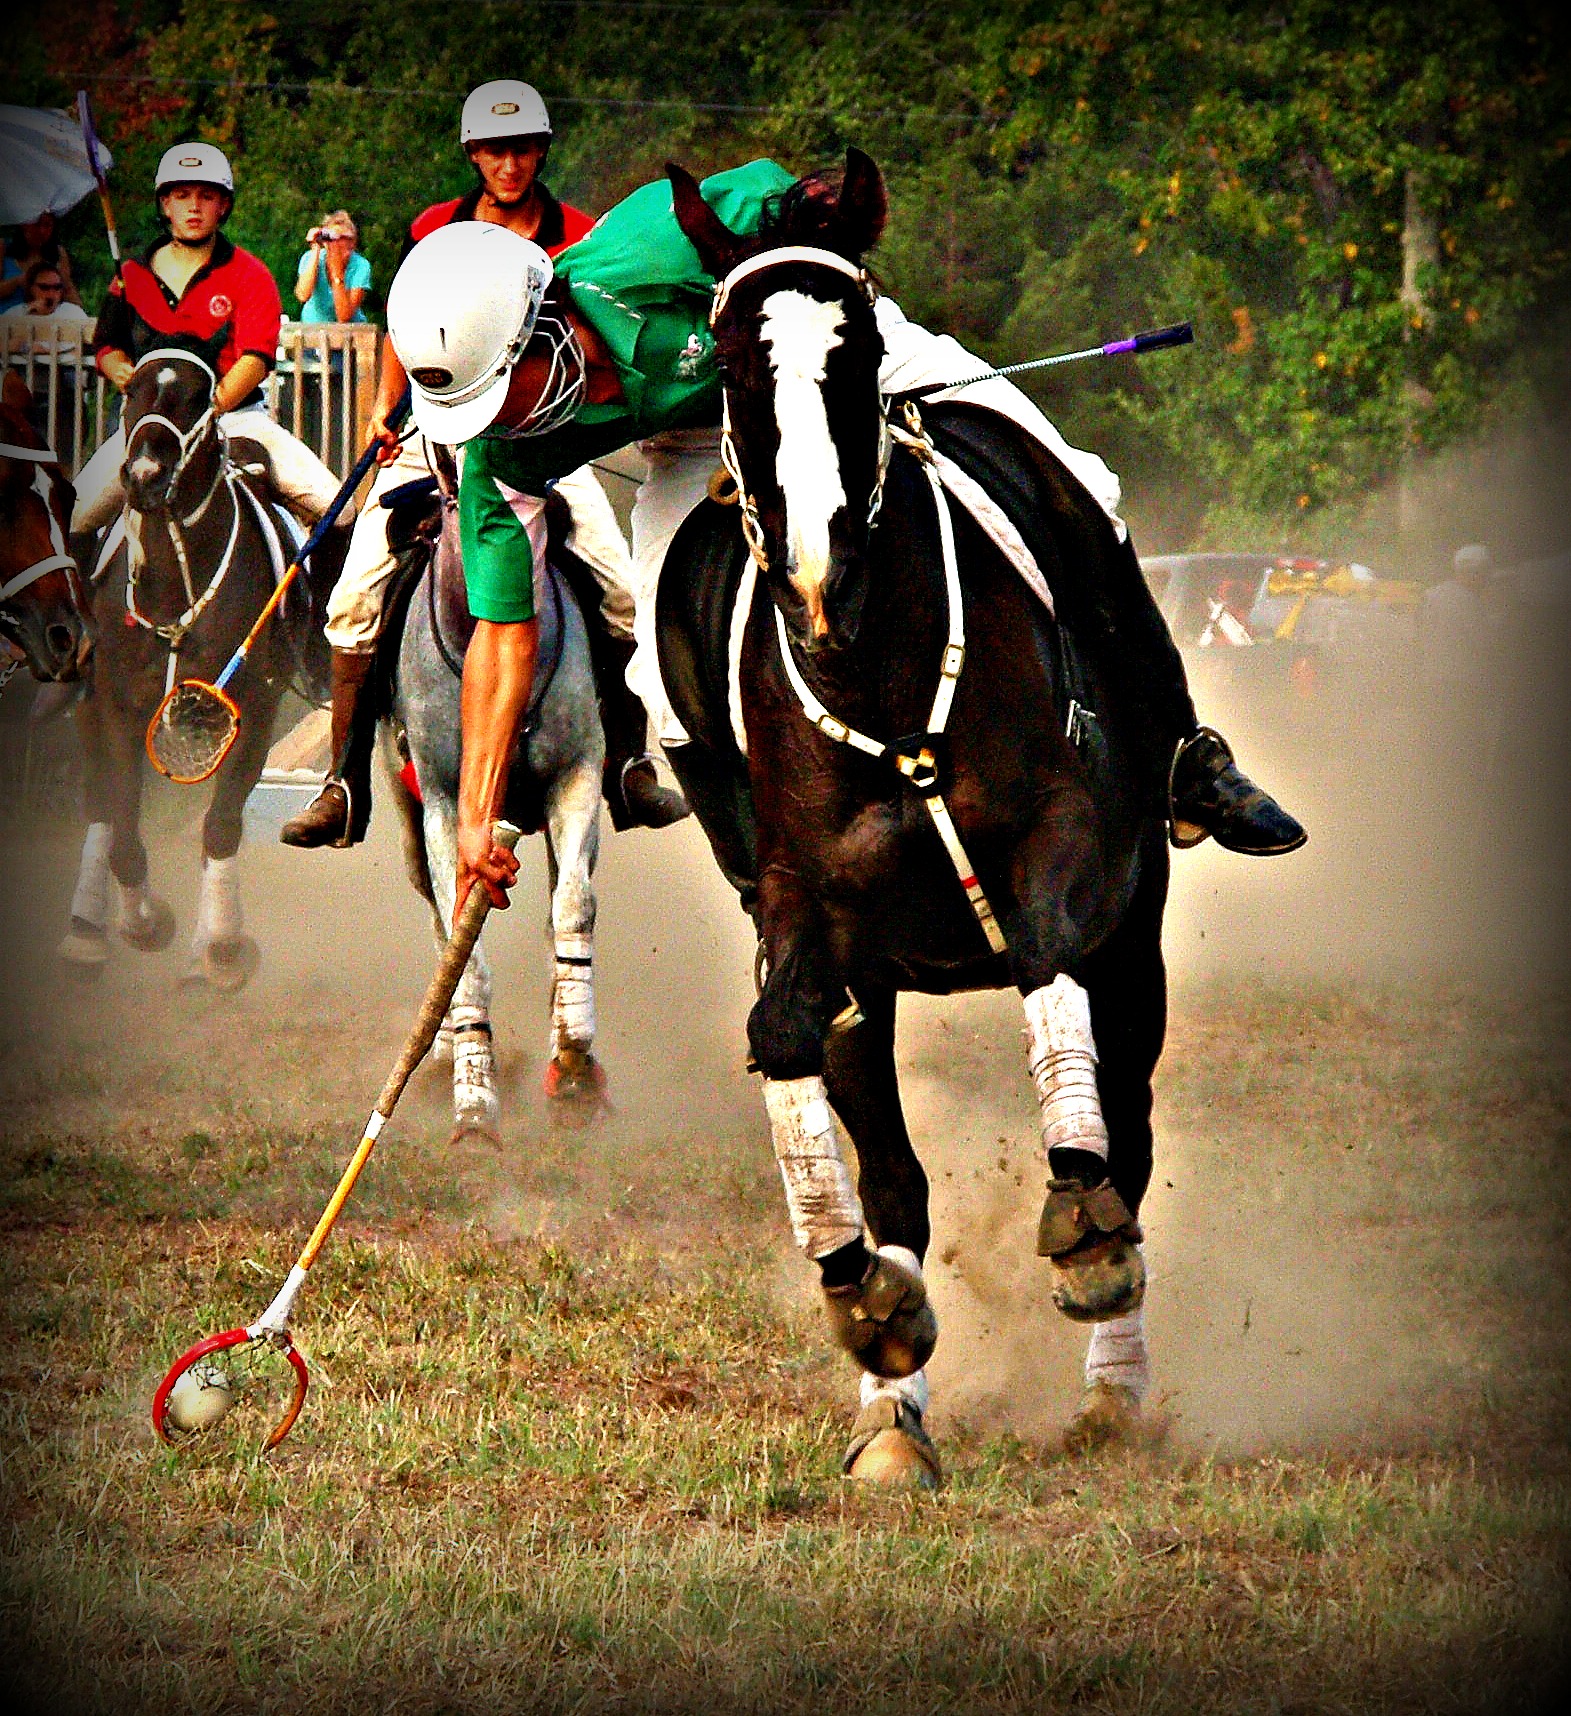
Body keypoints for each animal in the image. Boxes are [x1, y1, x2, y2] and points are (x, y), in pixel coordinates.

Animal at [59, 334, 339, 989]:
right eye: (132, 392)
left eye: (194, 401)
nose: (143, 477)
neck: (173, 590)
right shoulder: (117, 704)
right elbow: (122, 820)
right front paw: (142, 921)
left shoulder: (251, 712)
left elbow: (222, 823)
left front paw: (219, 948)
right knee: (99, 803)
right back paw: (86, 929)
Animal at [376, 451, 608, 1139]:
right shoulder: (443, 803)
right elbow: (462, 942)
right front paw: (474, 1101)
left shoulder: (578, 774)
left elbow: (573, 906)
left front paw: (573, 1056)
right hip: (405, 813)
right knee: (432, 909)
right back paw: (448, 1042)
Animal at [658, 151, 1171, 1485]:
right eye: (728, 359)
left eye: (857, 348)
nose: (816, 572)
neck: (877, 680)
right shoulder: (807, 915)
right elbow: (789, 1045)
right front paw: (868, 1309)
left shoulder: (1072, 856)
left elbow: (1047, 967)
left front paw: (1084, 1230)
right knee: (888, 1162)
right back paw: (893, 1416)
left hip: (1140, 938)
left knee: (1132, 1124)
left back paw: (1114, 1381)